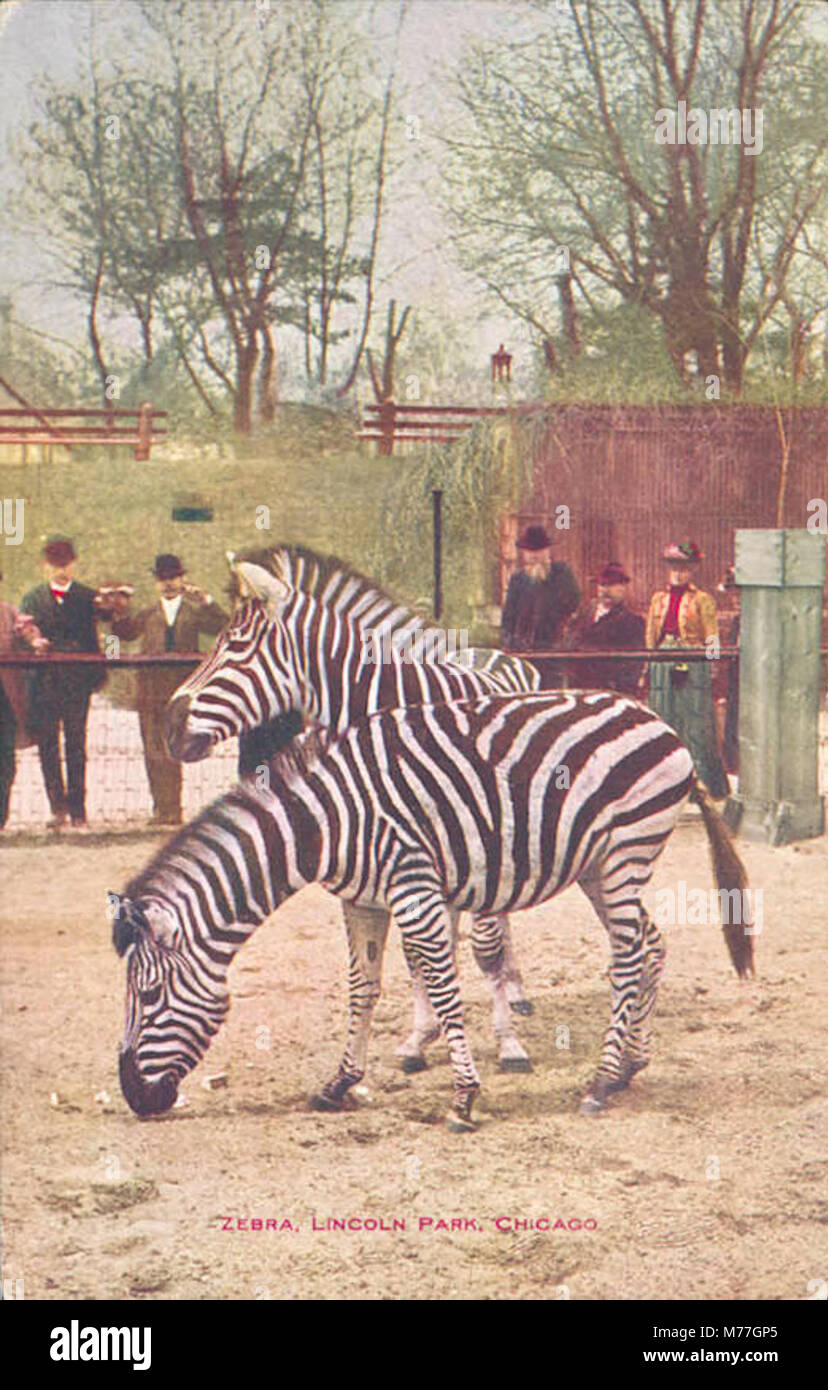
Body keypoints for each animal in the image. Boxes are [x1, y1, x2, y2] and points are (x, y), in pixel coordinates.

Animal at [112, 691, 754, 1131]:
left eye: (148, 995)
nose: (134, 1099)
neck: (323, 822)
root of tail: (658, 721)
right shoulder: (361, 901)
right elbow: (363, 988)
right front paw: (340, 1083)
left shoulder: (414, 889)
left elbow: (445, 991)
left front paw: (464, 1098)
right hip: (598, 864)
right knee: (650, 944)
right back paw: (627, 1067)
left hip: (626, 850)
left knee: (626, 957)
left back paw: (598, 1081)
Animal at [164, 544, 546, 1073]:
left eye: (236, 647)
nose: (170, 723)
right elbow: (414, 952)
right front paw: (418, 1037)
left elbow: (485, 948)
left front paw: (508, 1044)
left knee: (498, 925)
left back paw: (517, 993)